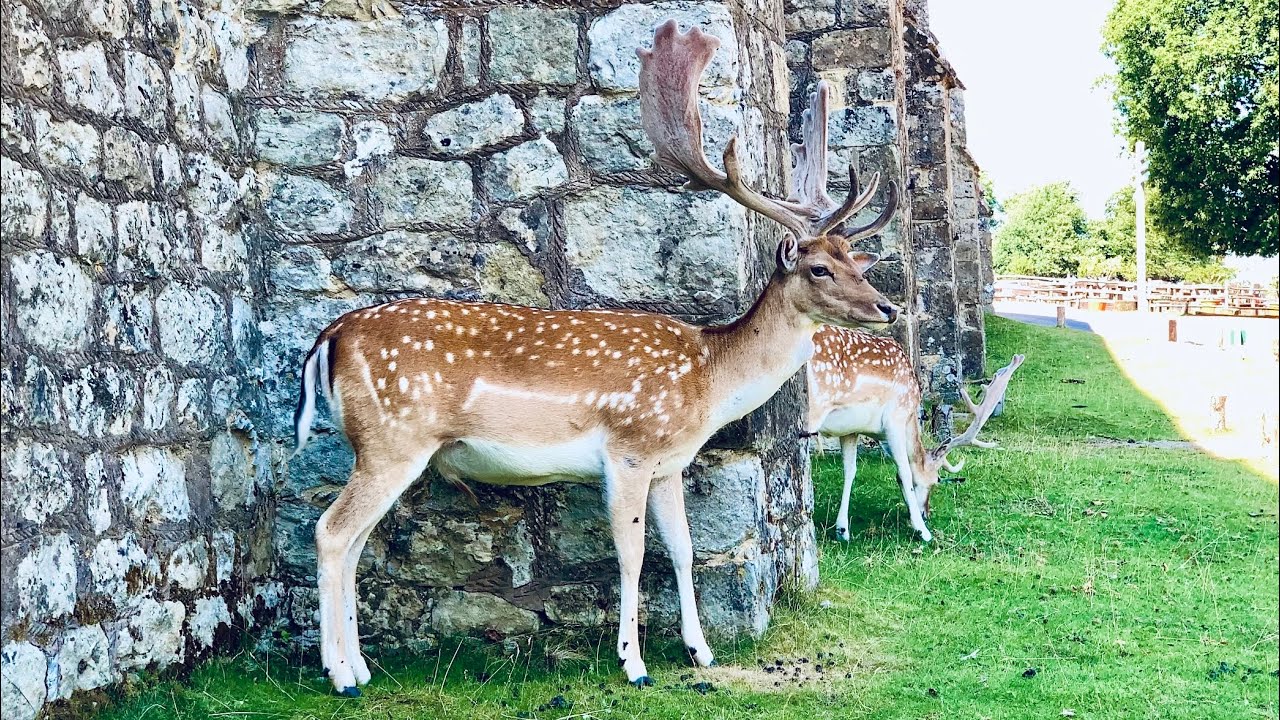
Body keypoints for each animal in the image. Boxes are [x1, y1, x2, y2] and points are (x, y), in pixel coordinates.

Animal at [291, 20, 900, 695]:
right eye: (819, 268)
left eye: (856, 264)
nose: (887, 309)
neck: (709, 379)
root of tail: (330, 336)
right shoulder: (630, 449)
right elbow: (630, 554)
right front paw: (634, 662)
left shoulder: (669, 464)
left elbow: (683, 549)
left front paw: (701, 650)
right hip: (391, 440)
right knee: (331, 531)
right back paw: (339, 673)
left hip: (385, 448)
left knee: (355, 540)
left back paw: (361, 666)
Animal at [806, 326, 1024, 542]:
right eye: (935, 480)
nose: (926, 513)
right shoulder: (895, 419)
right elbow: (905, 470)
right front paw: (922, 531)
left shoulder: (850, 430)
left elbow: (850, 470)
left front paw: (843, 530)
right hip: (814, 408)